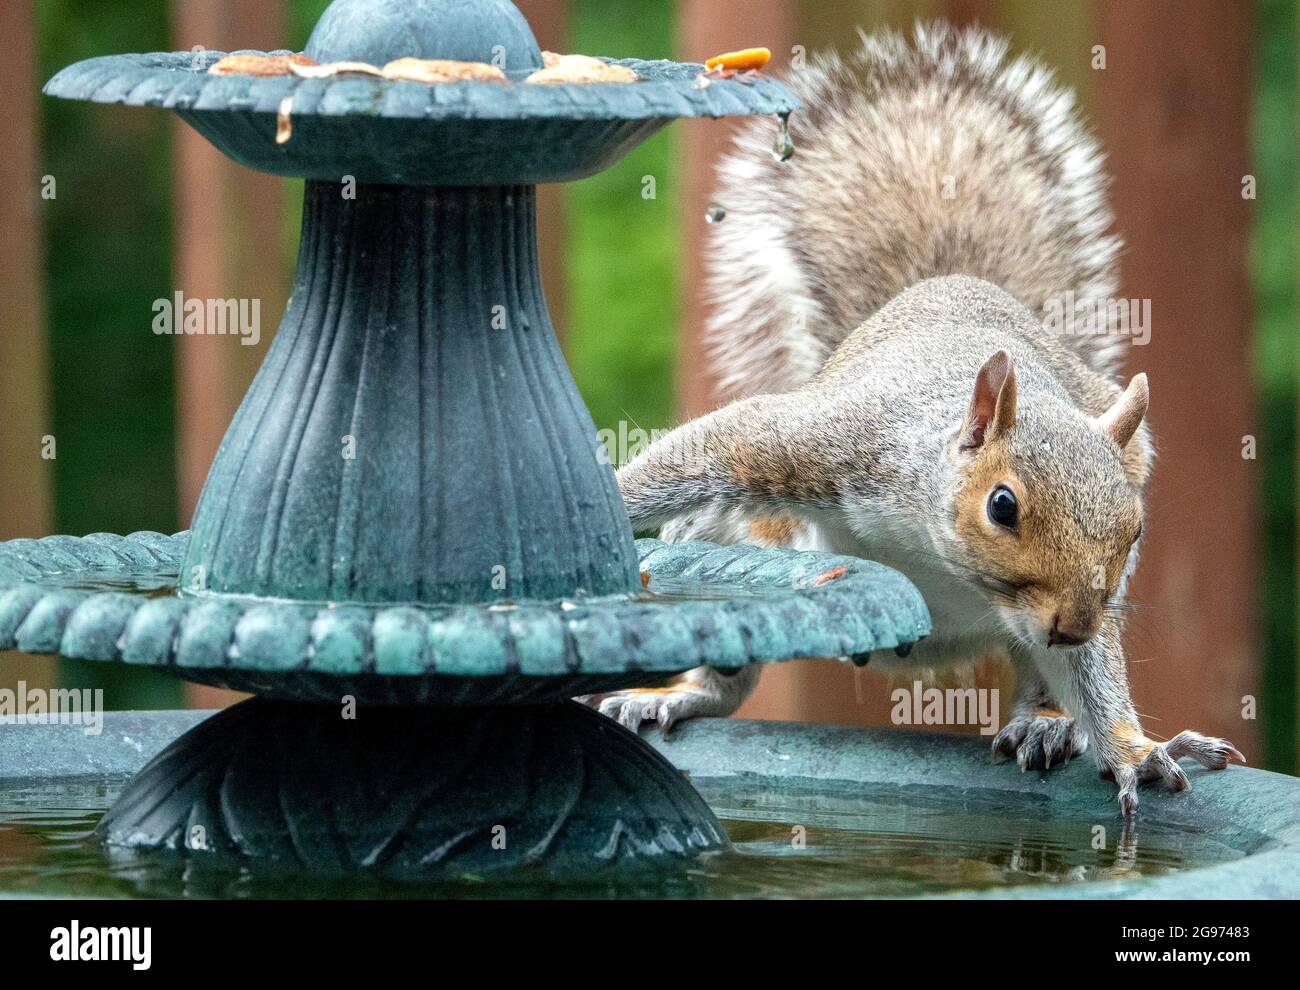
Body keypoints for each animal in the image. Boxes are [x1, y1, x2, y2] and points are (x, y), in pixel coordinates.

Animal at [580, 23, 1244, 815]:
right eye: (1001, 505)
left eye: (1134, 529)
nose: (1074, 624)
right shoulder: (833, 443)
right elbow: (714, 449)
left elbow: (1096, 680)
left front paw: (1135, 751)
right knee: (730, 672)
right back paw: (677, 695)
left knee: (1036, 676)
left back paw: (1045, 720)